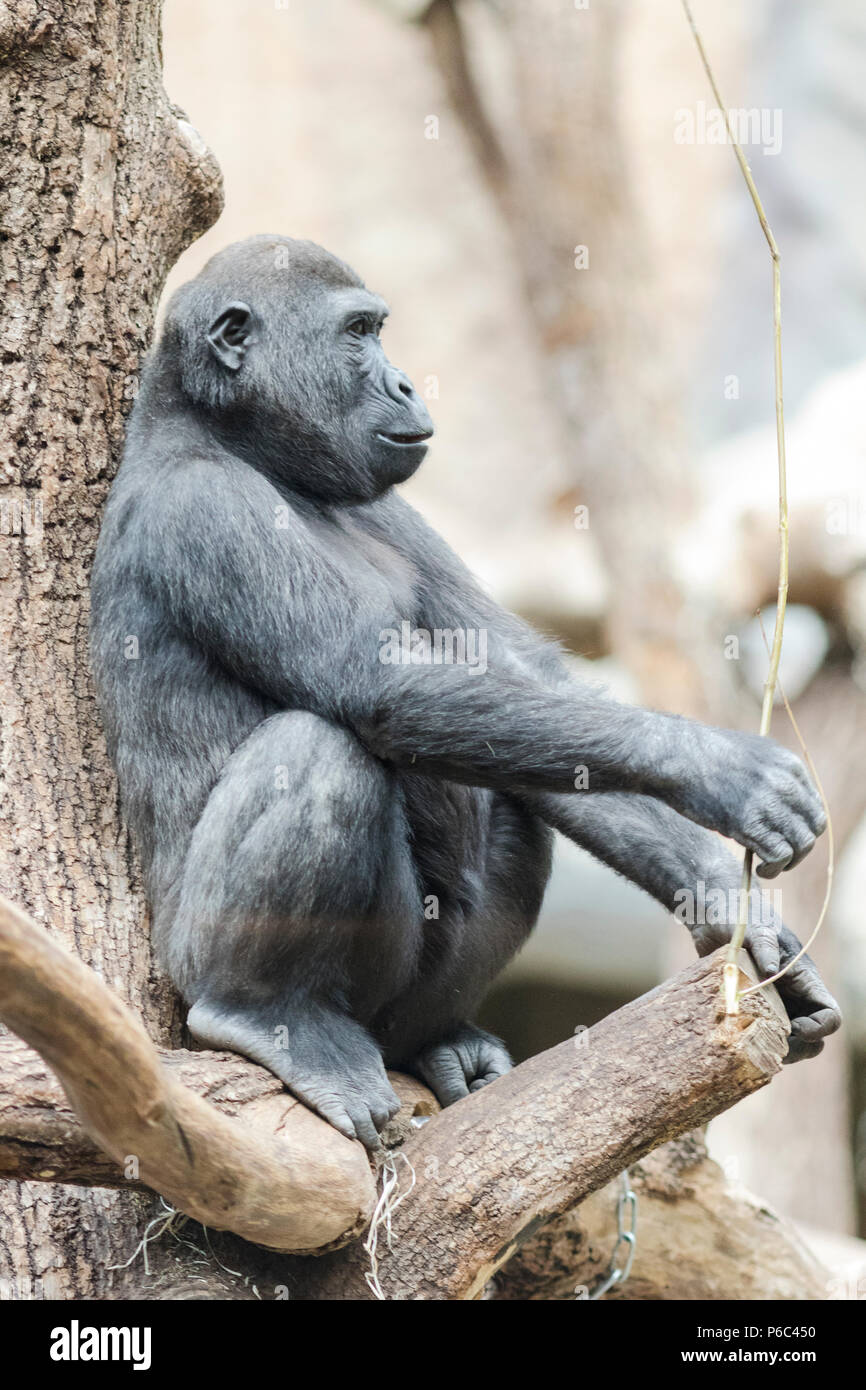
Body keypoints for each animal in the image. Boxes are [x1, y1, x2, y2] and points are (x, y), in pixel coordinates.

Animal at [90, 235, 840, 1150]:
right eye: (358, 333)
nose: (406, 383)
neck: (229, 437)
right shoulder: (206, 506)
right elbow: (371, 681)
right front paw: (715, 766)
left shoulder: (393, 508)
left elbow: (515, 671)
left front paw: (725, 896)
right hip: (190, 965)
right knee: (318, 753)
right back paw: (263, 1012)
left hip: (405, 1012)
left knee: (512, 800)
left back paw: (437, 1040)